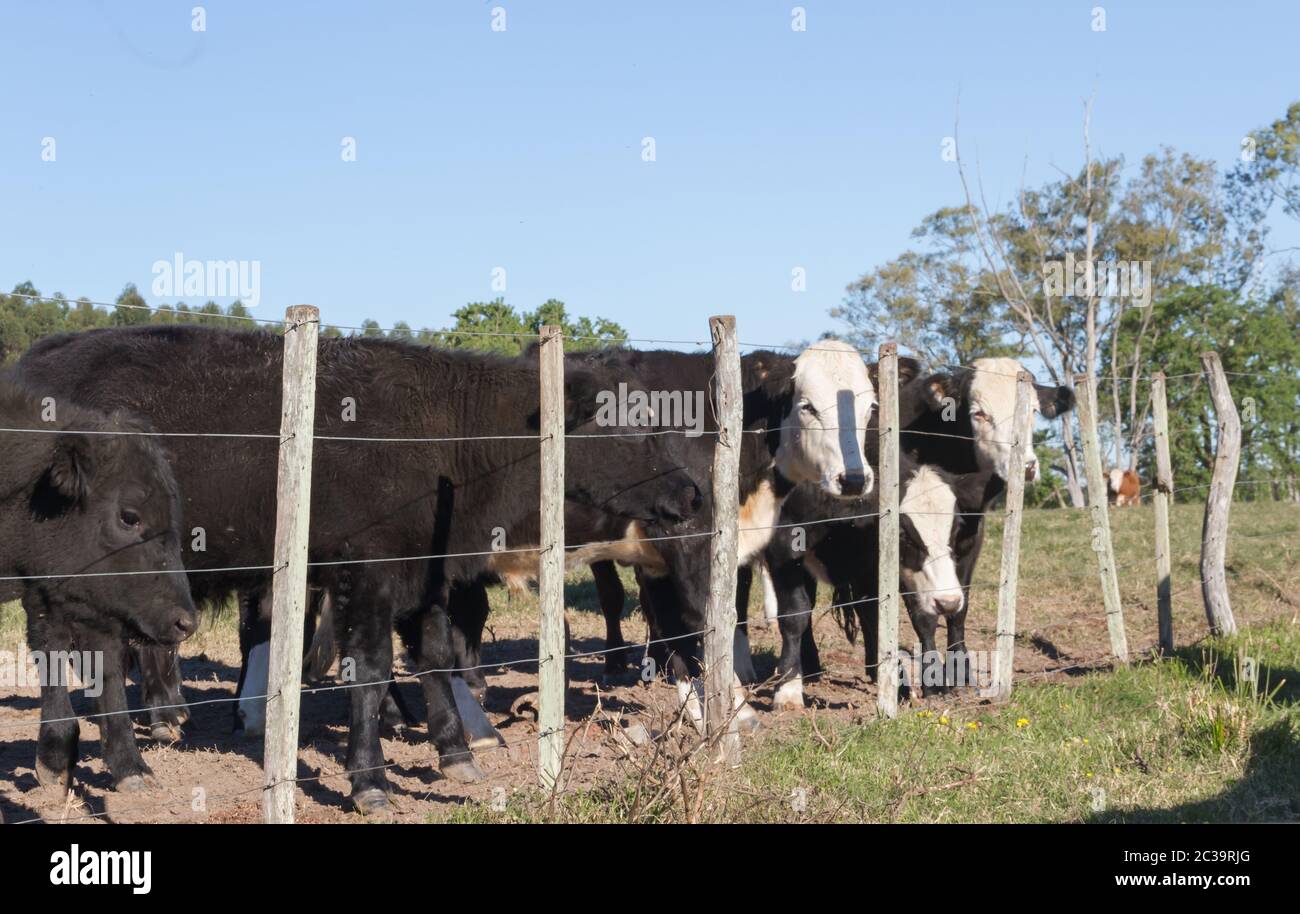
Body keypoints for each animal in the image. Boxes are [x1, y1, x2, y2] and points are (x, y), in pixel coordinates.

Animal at [0, 379, 197, 792]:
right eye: (129, 516)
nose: (185, 622)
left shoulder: (88, 606)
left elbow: (106, 675)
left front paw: (130, 766)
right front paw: (56, 761)